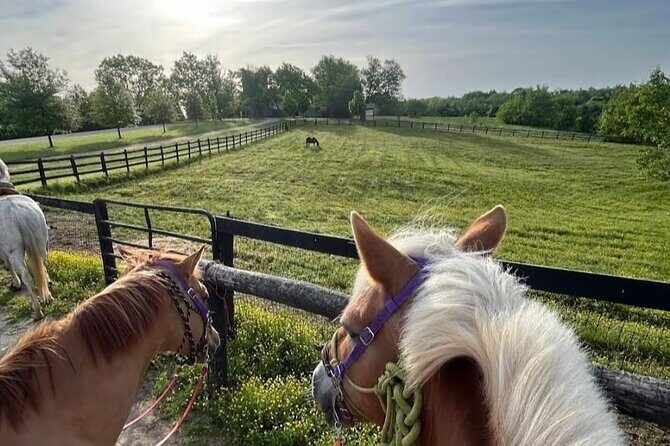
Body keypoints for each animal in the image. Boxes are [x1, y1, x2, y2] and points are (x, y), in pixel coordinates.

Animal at [0, 158, 51, 320]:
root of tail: (17, 211)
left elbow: (8, 265)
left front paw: (15, 284)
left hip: (15, 252)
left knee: (26, 276)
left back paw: (37, 311)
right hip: (41, 243)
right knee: (41, 264)